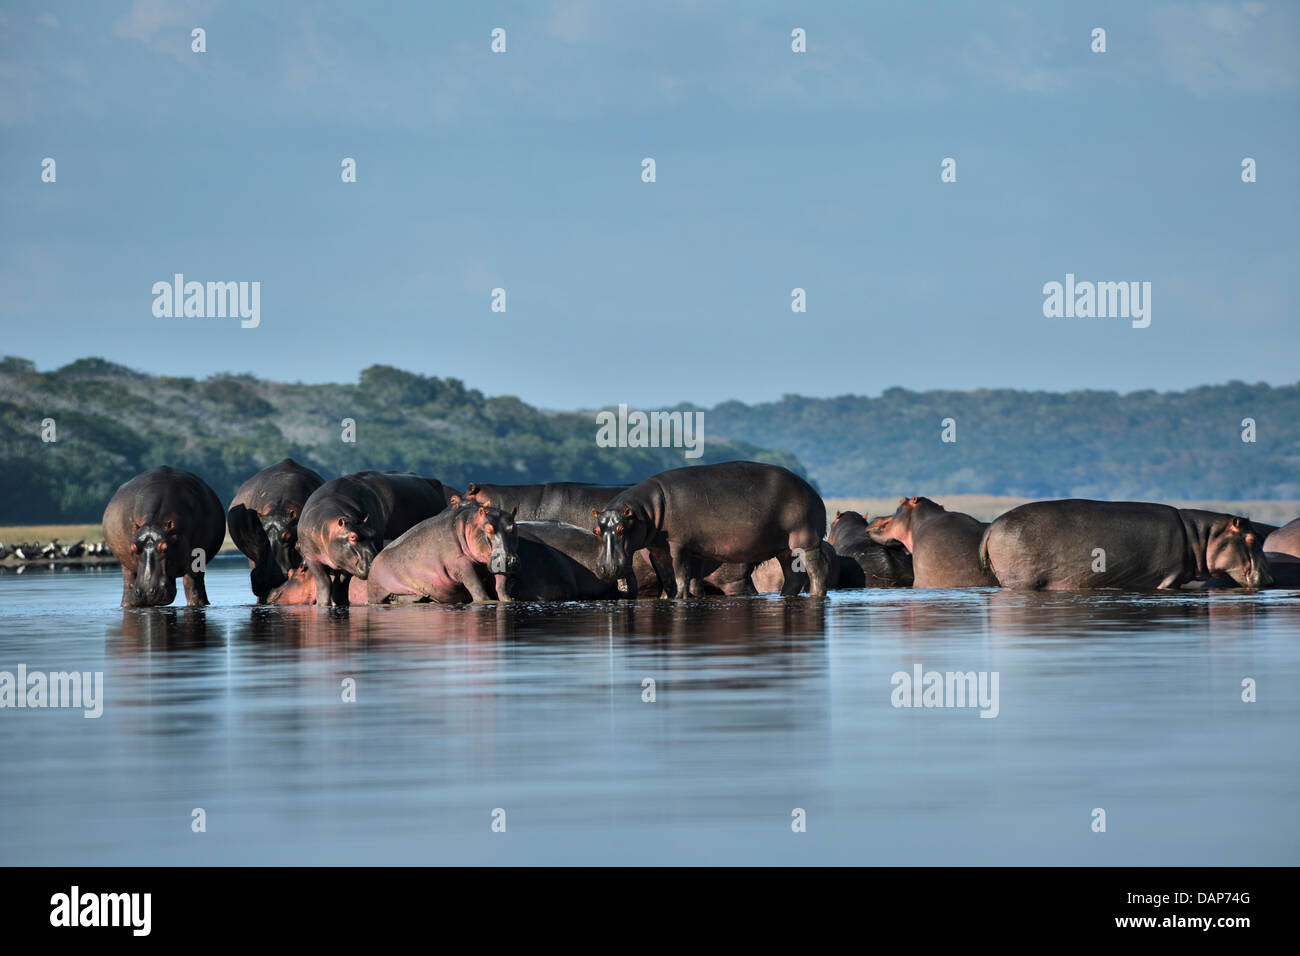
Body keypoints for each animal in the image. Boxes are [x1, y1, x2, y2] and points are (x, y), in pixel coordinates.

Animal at [102, 466, 226, 607]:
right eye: (133, 548)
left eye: (165, 547)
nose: (145, 592)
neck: (155, 521)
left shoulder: (197, 559)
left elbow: (192, 586)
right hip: (126, 566)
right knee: (128, 584)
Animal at [298, 471, 450, 606]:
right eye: (353, 537)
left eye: (372, 533)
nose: (372, 563)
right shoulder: (311, 557)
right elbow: (324, 582)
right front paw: (323, 604)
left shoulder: (348, 563)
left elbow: (341, 584)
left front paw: (340, 603)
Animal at [366, 504, 519, 604]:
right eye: (488, 529)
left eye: (513, 527)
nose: (510, 560)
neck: (468, 524)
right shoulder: (461, 563)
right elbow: (474, 582)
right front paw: (485, 601)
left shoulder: (495, 563)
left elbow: (501, 584)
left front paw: (509, 600)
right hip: (380, 593)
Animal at [594, 461, 829, 599]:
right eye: (597, 530)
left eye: (622, 529)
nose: (606, 568)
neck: (648, 510)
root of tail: (812, 491)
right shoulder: (662, 550)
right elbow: (671, 579)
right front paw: (673, 598)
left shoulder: (677, 545)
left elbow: (681, 574)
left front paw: (680, 598)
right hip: (785, 547)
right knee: (793, 576)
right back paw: (784, 596)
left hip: (805, 540)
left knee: (816, 570)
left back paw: (816, 595)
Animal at [979, 500, 1272, 590]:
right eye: (1251, 538)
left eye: (1260, 537)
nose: (1270, 579)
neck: (1202, 536)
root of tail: (991, 526)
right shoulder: (1169, 578)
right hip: (1022, 580)